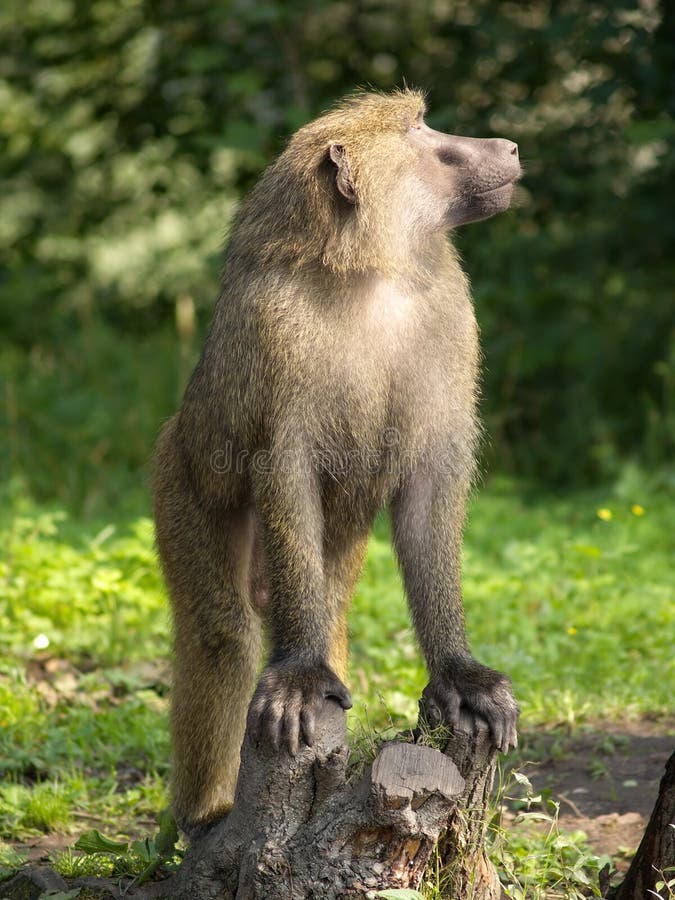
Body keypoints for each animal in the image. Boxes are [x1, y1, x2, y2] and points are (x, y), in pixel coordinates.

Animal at [153, 89, 522, 837]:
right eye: (420, 132)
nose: (508, 146)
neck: (371, 271)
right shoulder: (274, 327)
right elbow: (282, 466)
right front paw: (299, 673)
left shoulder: (449, 316)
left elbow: (427, 487)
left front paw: (458, 675)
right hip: (179, 479)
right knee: (224, 634)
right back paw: (205, 816)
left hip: (341, 542)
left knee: (330, 611)